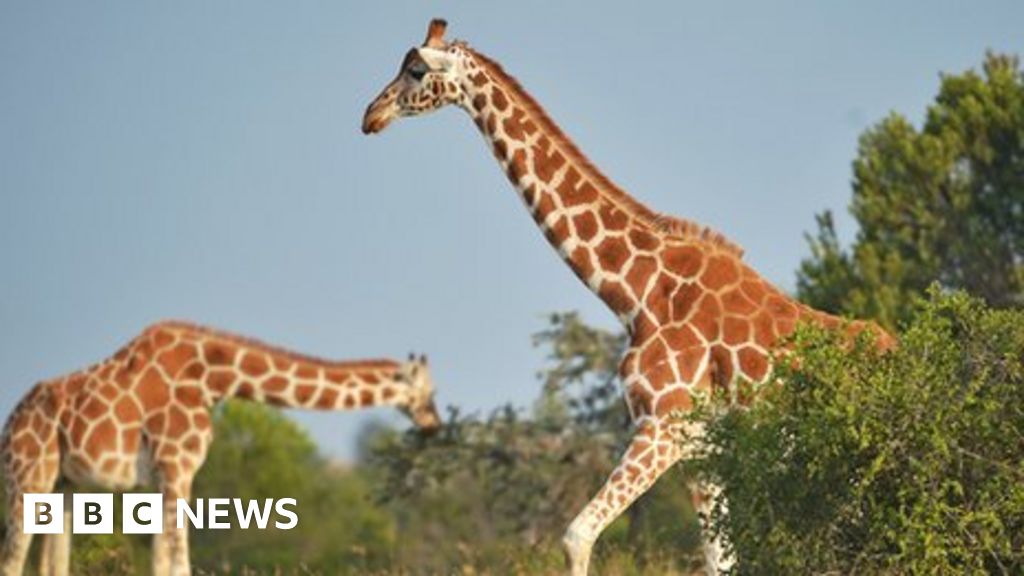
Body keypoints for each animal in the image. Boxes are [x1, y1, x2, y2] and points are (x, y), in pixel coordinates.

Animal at [0, 320, 441, 576]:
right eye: (428, 393)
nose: (435, 424)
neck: (214, 378)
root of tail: (8, 428)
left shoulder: (166, 475)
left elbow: (162, 560)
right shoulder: (176, 465)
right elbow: (177, 563)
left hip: (63, 485)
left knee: (50, 564)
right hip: (28, 477)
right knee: (11, 560)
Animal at [362, 19, 895, 575]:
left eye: (415, 70)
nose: (370, 115)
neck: (635, 292)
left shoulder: (661, 427)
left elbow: (576, 535)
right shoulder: (702, 451)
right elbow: (719, 561)